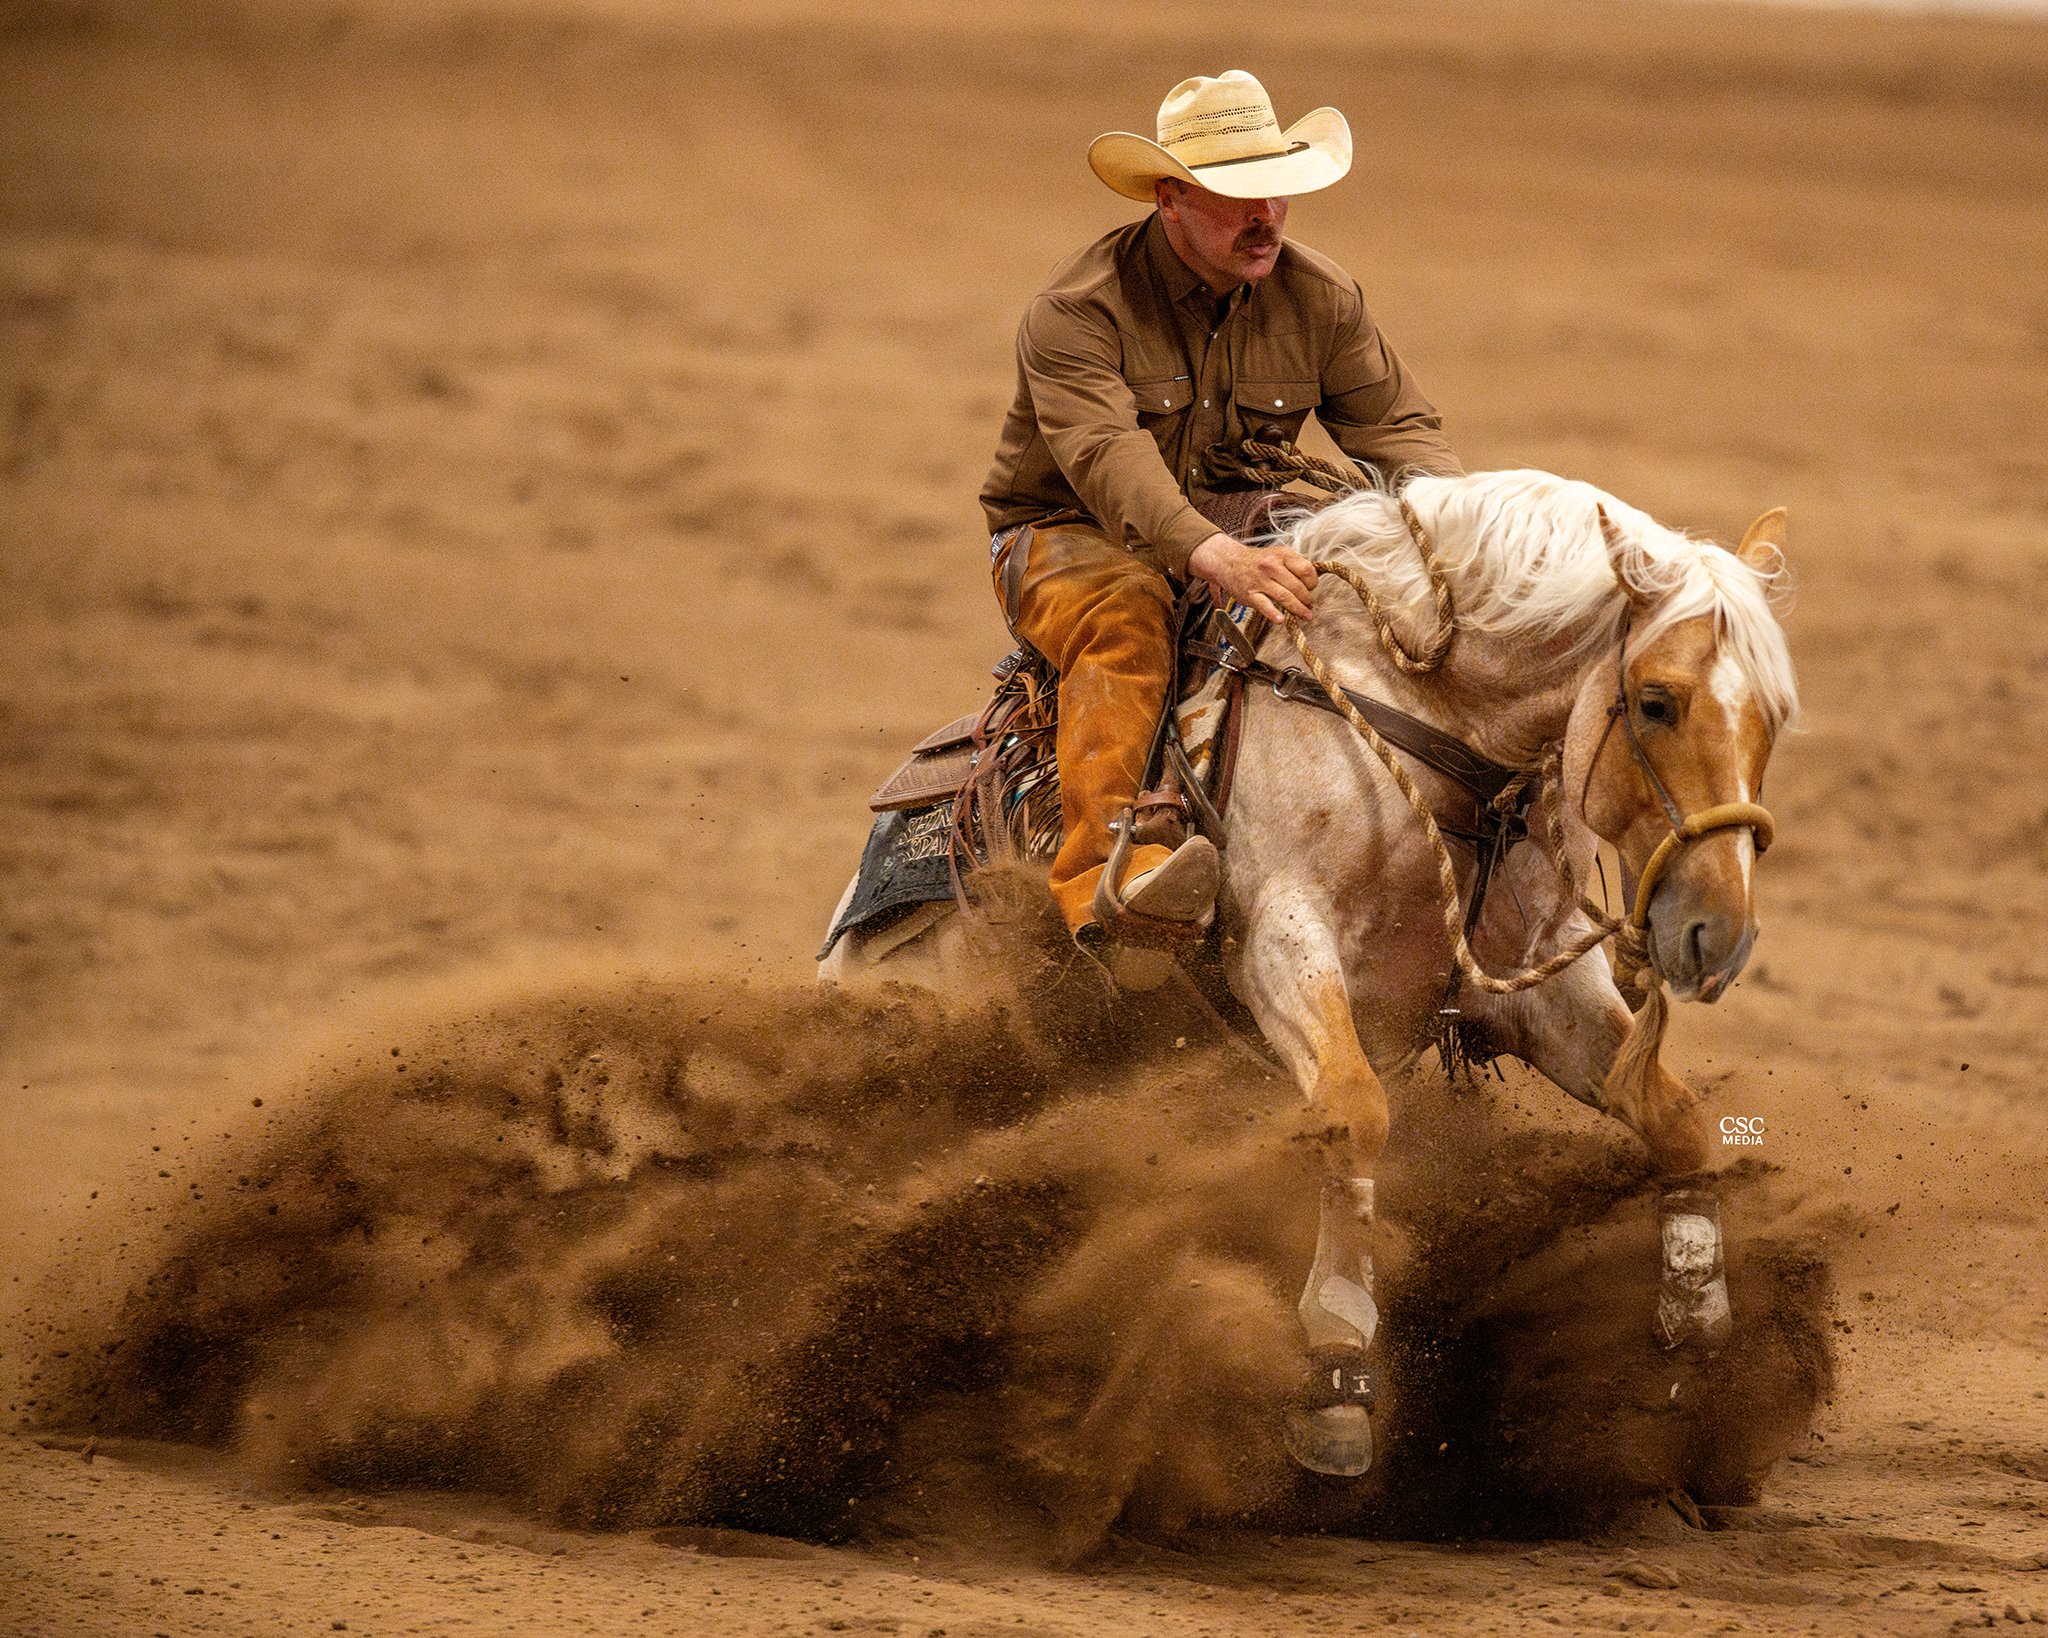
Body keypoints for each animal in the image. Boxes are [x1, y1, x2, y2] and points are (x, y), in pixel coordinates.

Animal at [821, 467, 1797, 1476]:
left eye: (1775, 718)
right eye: (1656, 701)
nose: (1718, 934)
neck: (1420, 721)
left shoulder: (1541, 979)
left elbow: (1672, 1113)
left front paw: (1695, 1323)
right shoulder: (1282, 942)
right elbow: (1354, 1111)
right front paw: (1336, 1368)